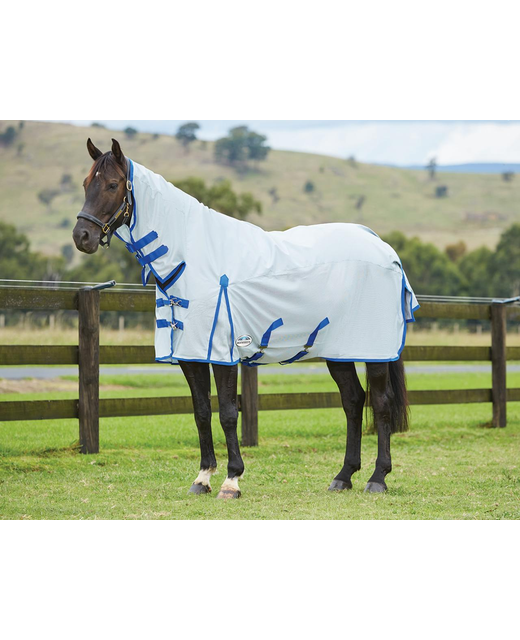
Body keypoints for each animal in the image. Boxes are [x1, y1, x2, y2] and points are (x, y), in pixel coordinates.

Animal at [73, 138, 419, 499]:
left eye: (113, 185)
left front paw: (231, 481)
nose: (81, 236)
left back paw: (377, 478)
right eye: (85, 183)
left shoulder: (223, 355)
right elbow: (201, 412)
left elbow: (227, 413)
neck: (192, 261)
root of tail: (382, 247)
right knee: (352, 401)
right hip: (339, 352)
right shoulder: (191, 356)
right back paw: (343, 476)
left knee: (380, 403)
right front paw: (203, 478)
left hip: (373, 351)